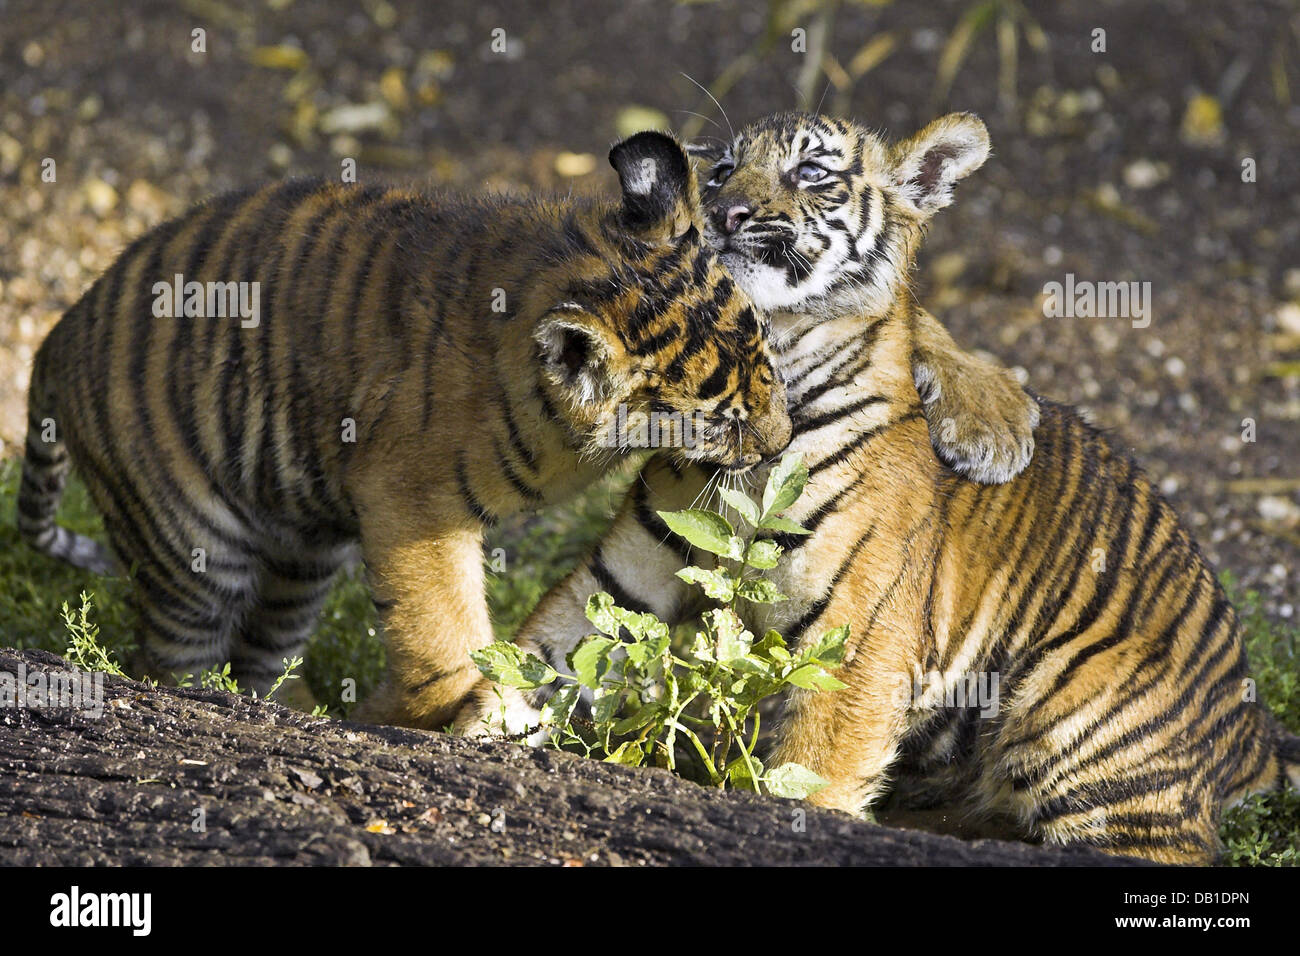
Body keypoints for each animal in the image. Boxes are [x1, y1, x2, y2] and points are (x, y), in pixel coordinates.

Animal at [17, 130, 795, 729]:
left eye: (764, 349)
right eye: (720, 418)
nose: (783, 440)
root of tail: (60, 331)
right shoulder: (413, 502)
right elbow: (440, 631)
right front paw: (457, 709)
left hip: (300, 556)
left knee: (265, 654)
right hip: (193, 550)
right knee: (173, 658)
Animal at [457, 112, 1300, 864]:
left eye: (811, 171)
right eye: (722, 169)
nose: (724, 212)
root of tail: (1256, 731)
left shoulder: (858, 644)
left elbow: (810, 780)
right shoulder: (624, 578)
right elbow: (535, 658)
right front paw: (462, 729)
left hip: (1063, 716)